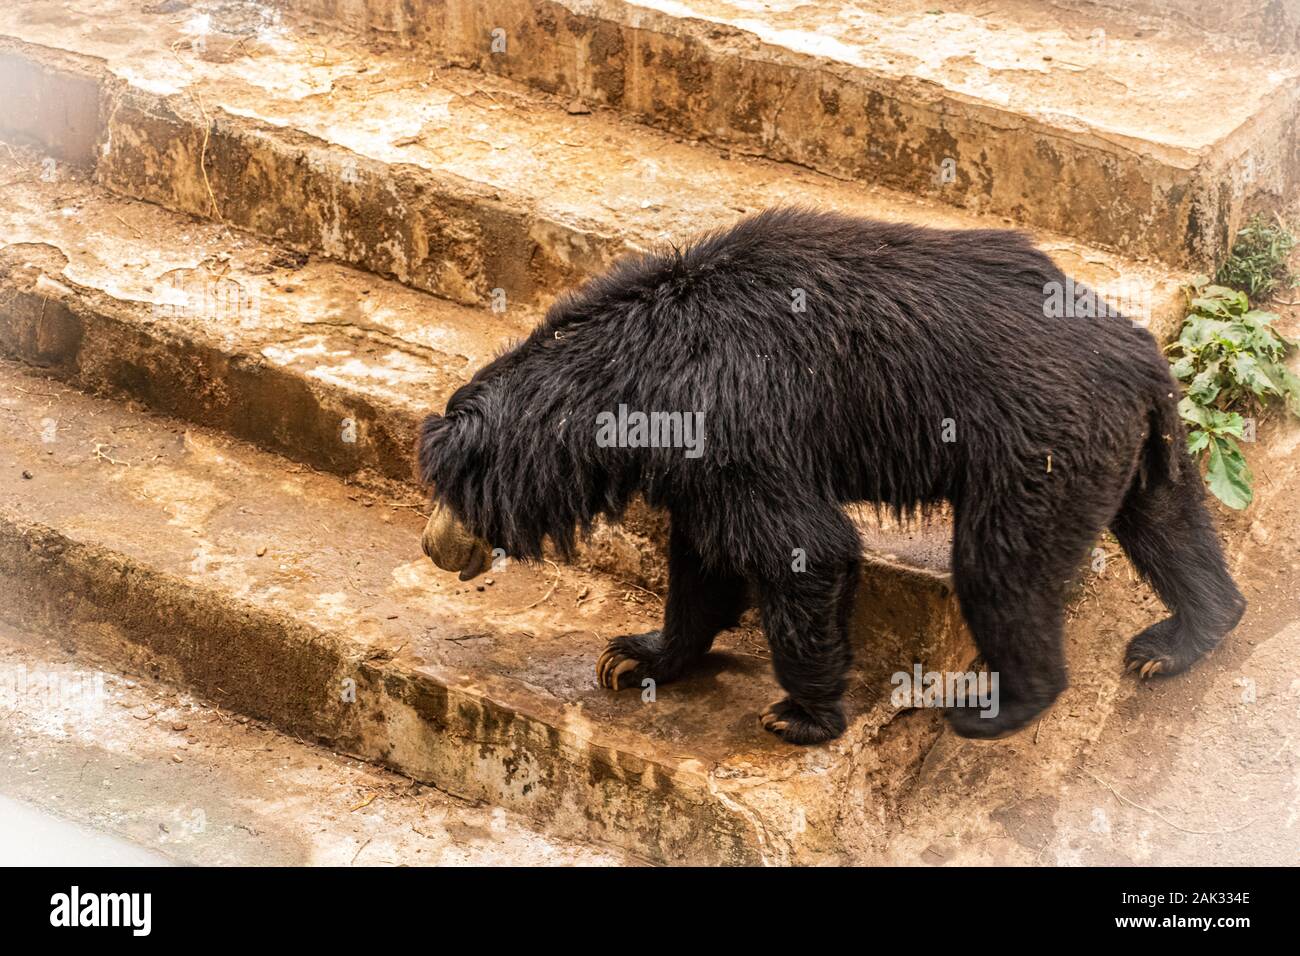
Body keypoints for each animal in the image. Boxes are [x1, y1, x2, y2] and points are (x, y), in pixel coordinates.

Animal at [416, 207, 1246, 745]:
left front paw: (799, 715)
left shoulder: (737, 417)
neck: (630, 377)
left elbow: (804, 548)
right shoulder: (697, 455)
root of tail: (1137, 351)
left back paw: (997, 706)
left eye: (449, 491)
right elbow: (702, 560)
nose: (432, 546)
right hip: (1127, 445)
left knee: (1000, 569)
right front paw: (634, 657)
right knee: (1168, 524)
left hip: (1038, 444)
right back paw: (1179, 639)